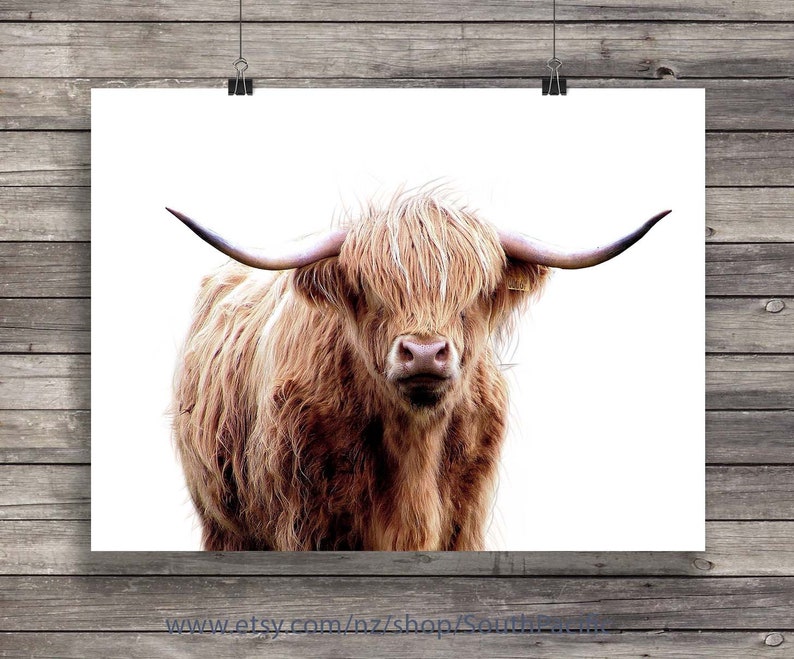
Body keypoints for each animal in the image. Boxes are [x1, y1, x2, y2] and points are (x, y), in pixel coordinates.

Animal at [167, 191, 669, 551]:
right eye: (370, 290)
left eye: (475, 294)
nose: (425, 353)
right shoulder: (303, 522)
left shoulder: (465, 520)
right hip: (223, 524)